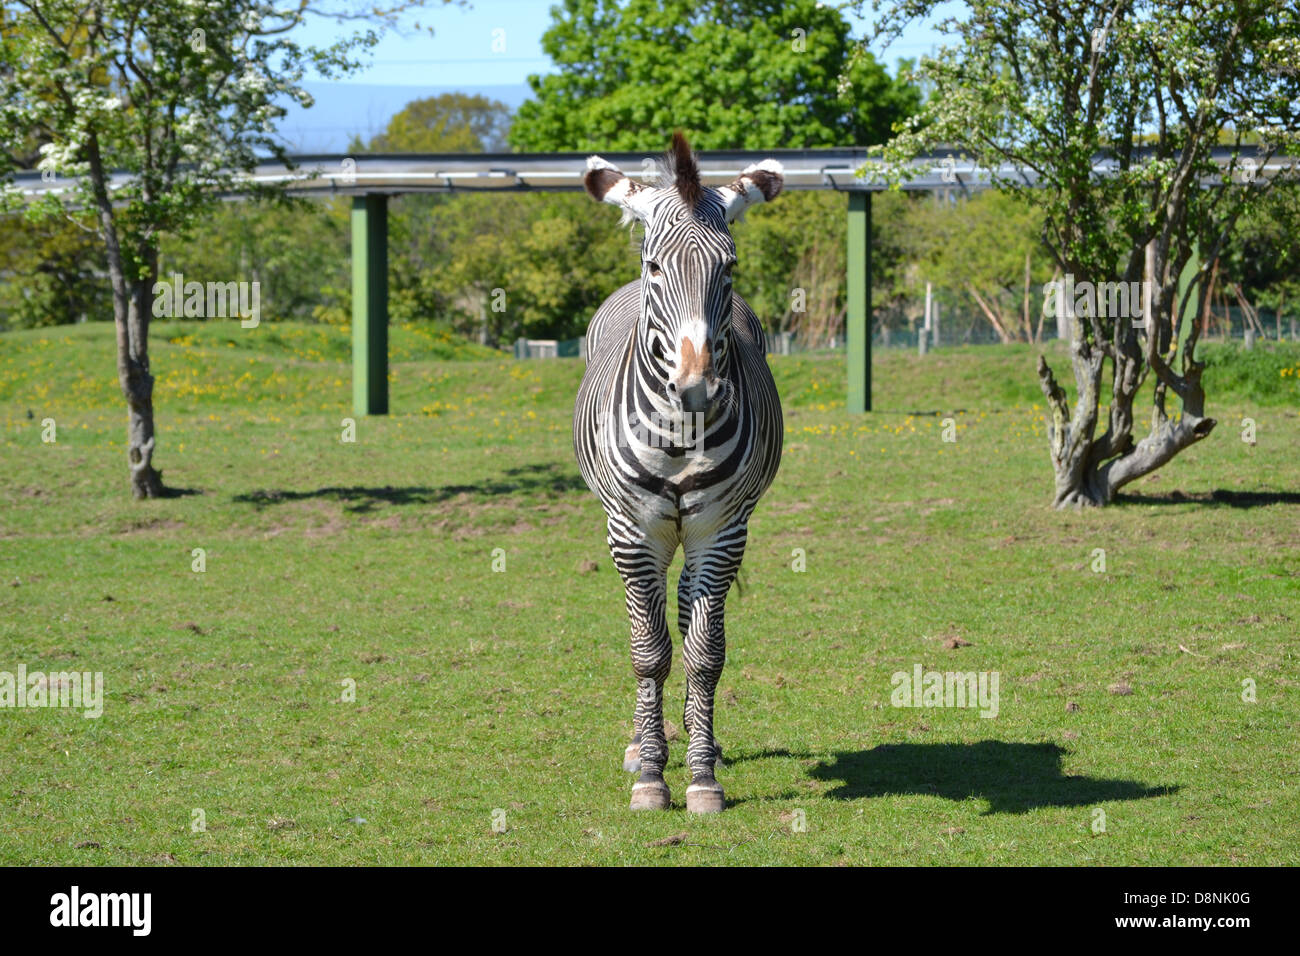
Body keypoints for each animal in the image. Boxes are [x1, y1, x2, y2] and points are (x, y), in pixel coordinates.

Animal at [573, 133, 784, 813]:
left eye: (730, 268)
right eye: (655, 267)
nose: (696, 389)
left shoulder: (722, 532)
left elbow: (703, 653)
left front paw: (700, 776)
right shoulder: (632, 532)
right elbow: (648, 653)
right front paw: (650, 775)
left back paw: (699, 738)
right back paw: (644, 743)